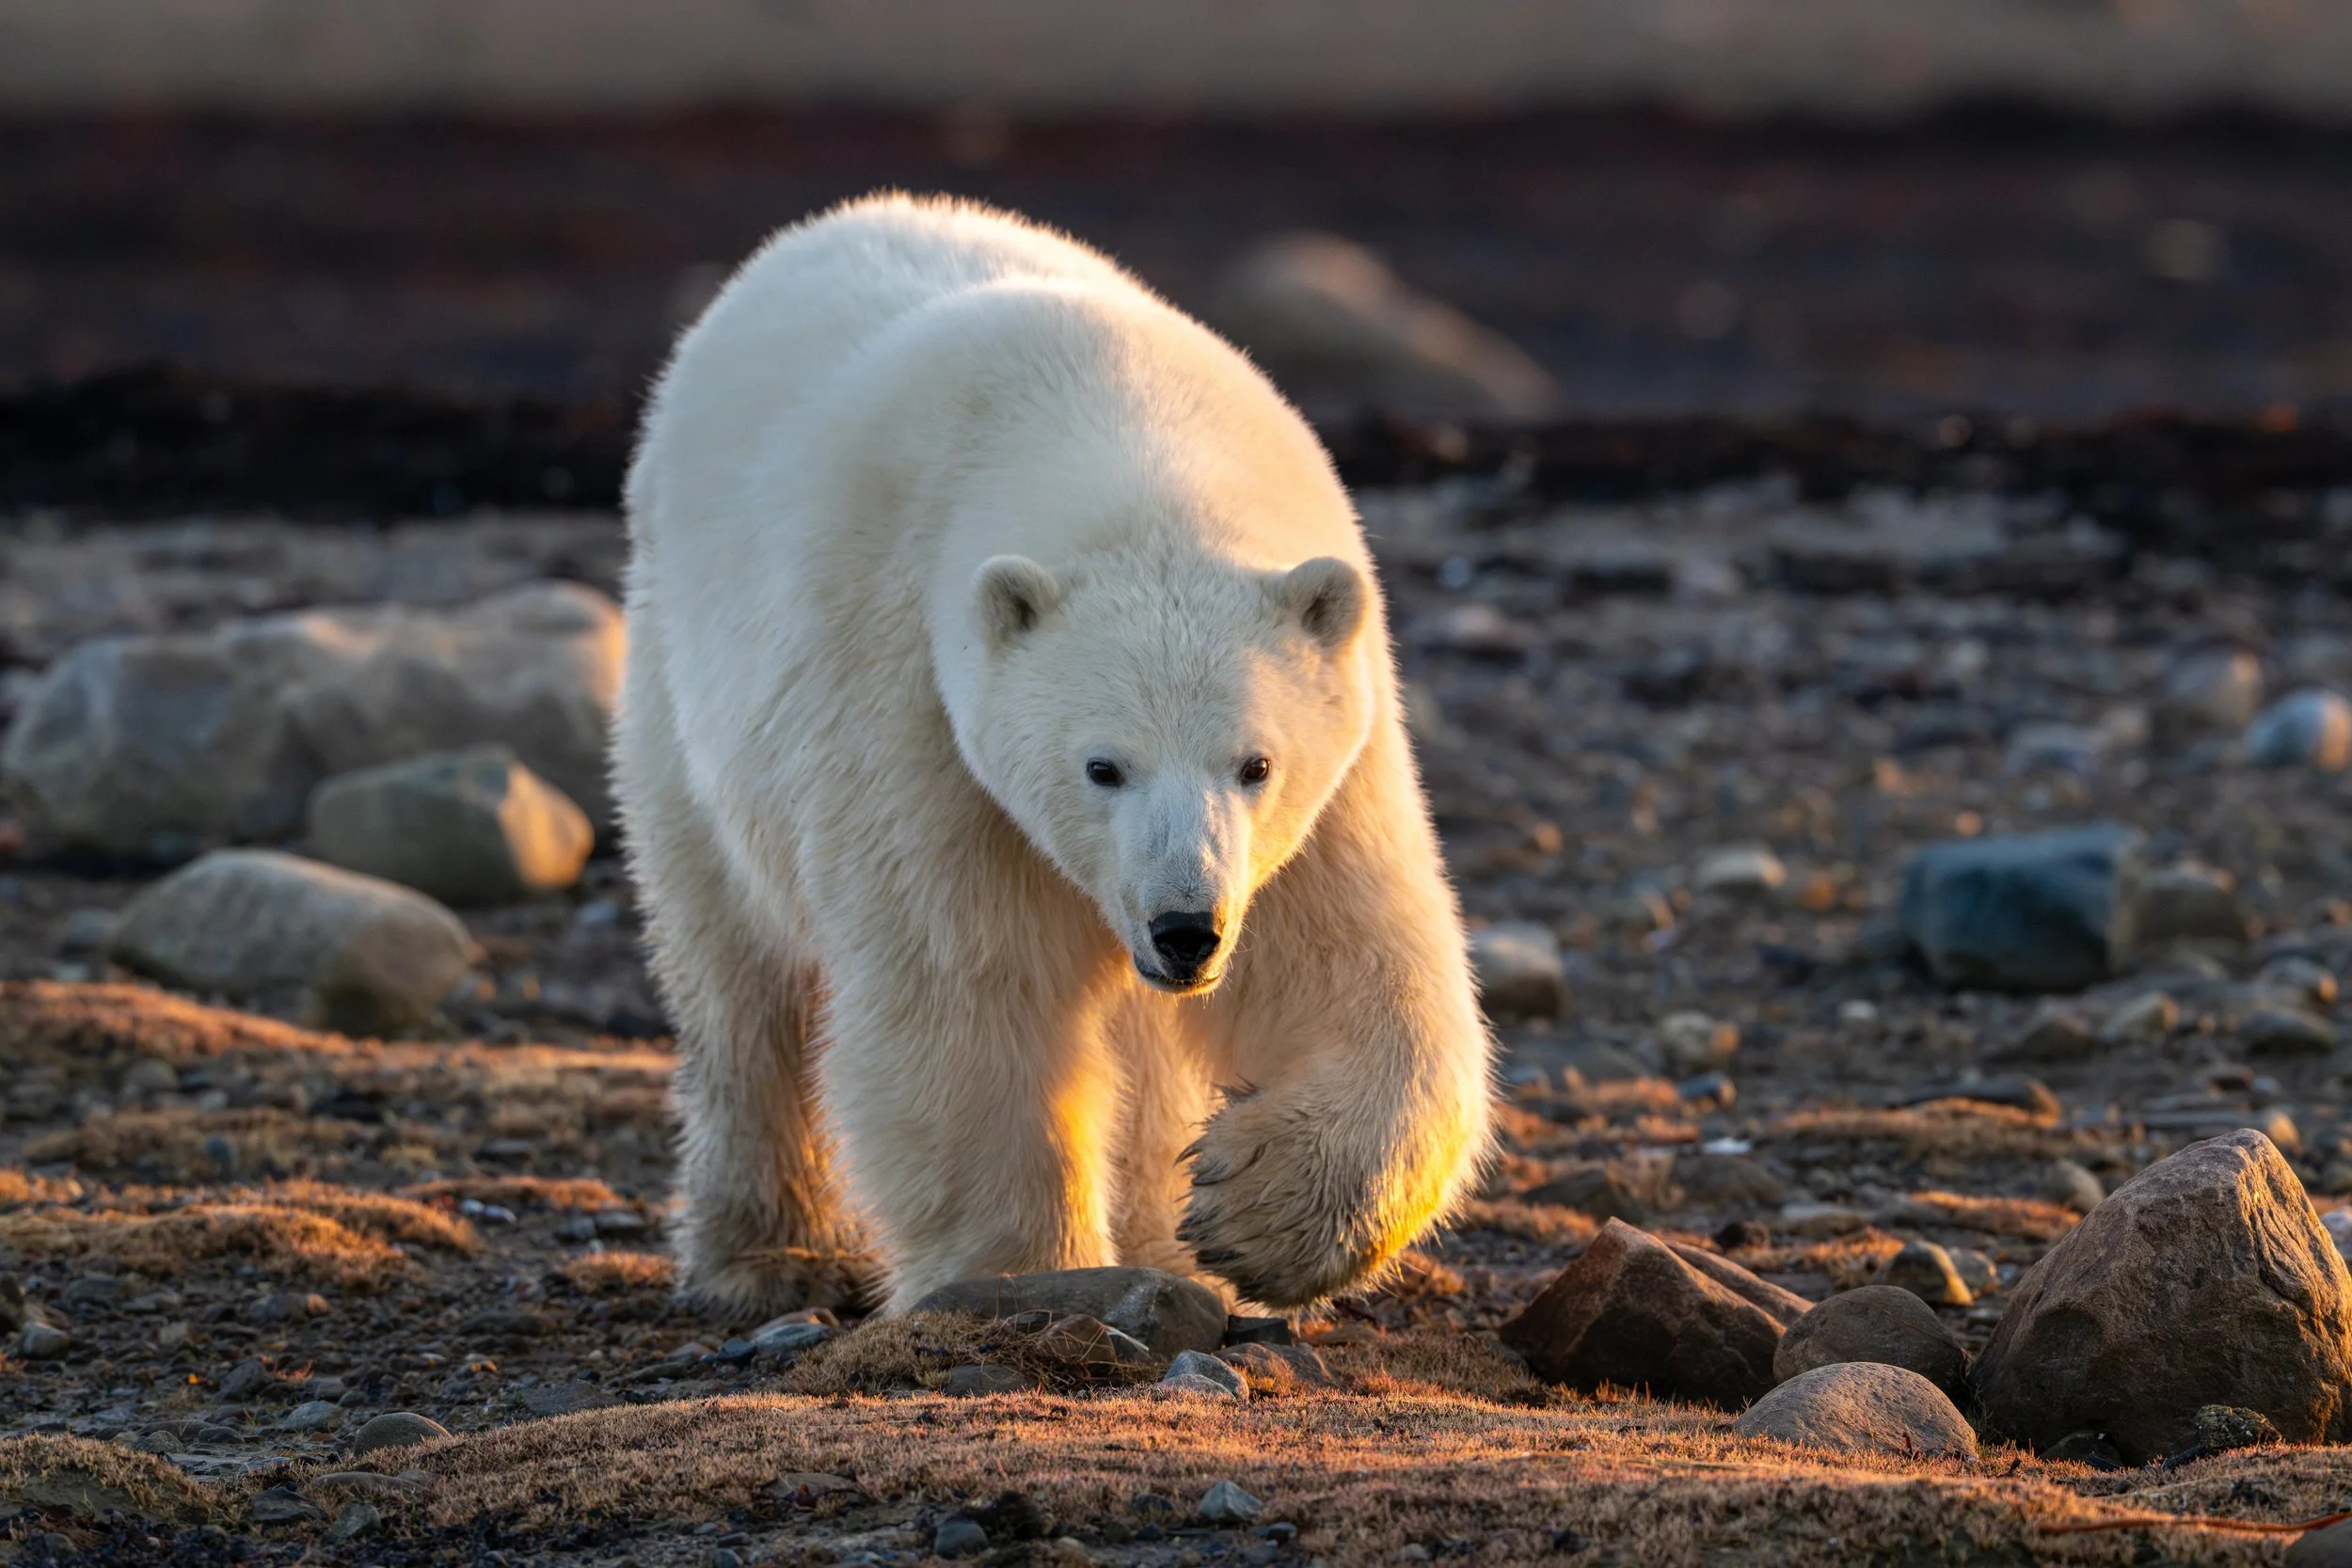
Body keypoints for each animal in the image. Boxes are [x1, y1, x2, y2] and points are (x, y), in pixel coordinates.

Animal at [615, 192, 1495, 1318]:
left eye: (1254, 764)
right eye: (1101, 766)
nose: (1184, 929)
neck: (1114, 426)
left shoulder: (1338, 761)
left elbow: (1355, 959)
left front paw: (1252, 1214)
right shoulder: (907, 699)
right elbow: (966, 989)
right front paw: (1026, 1278)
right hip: (679, 696)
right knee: (740, 981)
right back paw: (764, 1254)